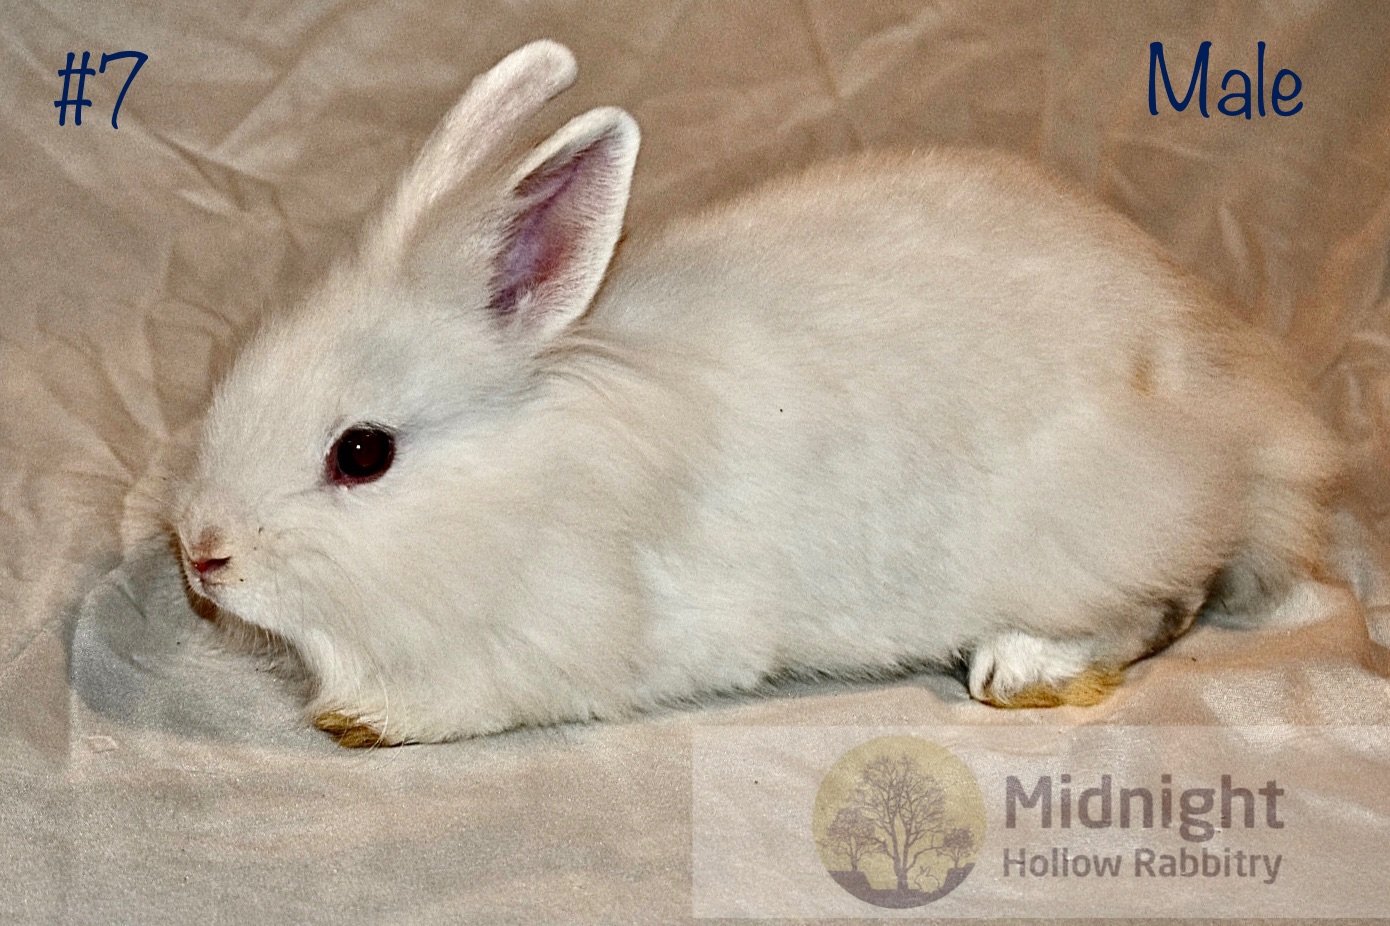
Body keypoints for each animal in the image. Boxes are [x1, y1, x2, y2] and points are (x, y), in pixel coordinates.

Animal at [173, 40, 1342, 747]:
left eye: (362, 454)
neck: (529, 476)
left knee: (1162, 599)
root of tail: (1232, 391)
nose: (199, 555)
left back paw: (1018, 666)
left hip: (1094, 510)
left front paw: (360, 721)